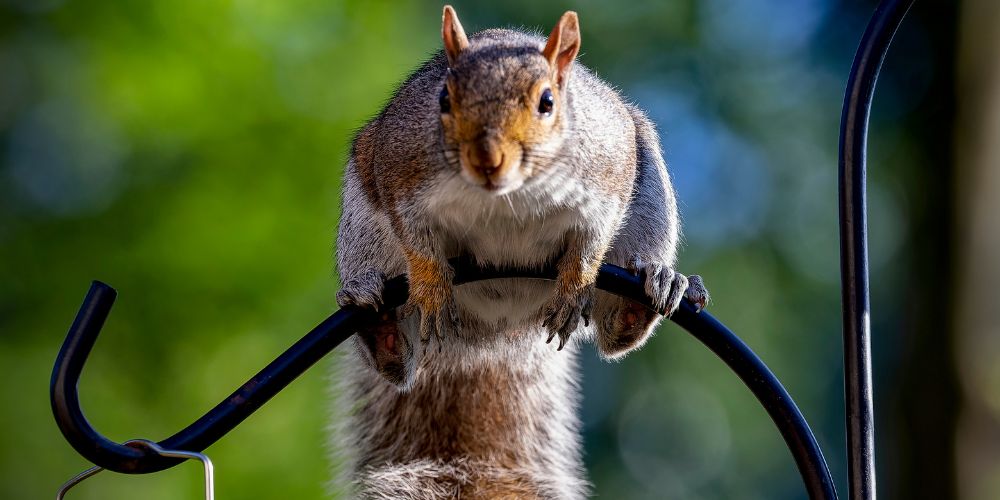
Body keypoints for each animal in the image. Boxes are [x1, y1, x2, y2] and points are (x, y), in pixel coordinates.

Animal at [332, 6, 708, 499]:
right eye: (444, 100)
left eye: (547, 102)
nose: (487, 160)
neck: (508, 195)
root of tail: (497, 333)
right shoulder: (399, 172)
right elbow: (417, 242)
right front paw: (431, 287)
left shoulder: (609, 175)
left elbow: (592, 241)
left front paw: (574, 284)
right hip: (362, 229)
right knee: (395, 363)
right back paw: (379, 321)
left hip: (650, 207)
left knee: (615, 334)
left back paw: (650, 292)